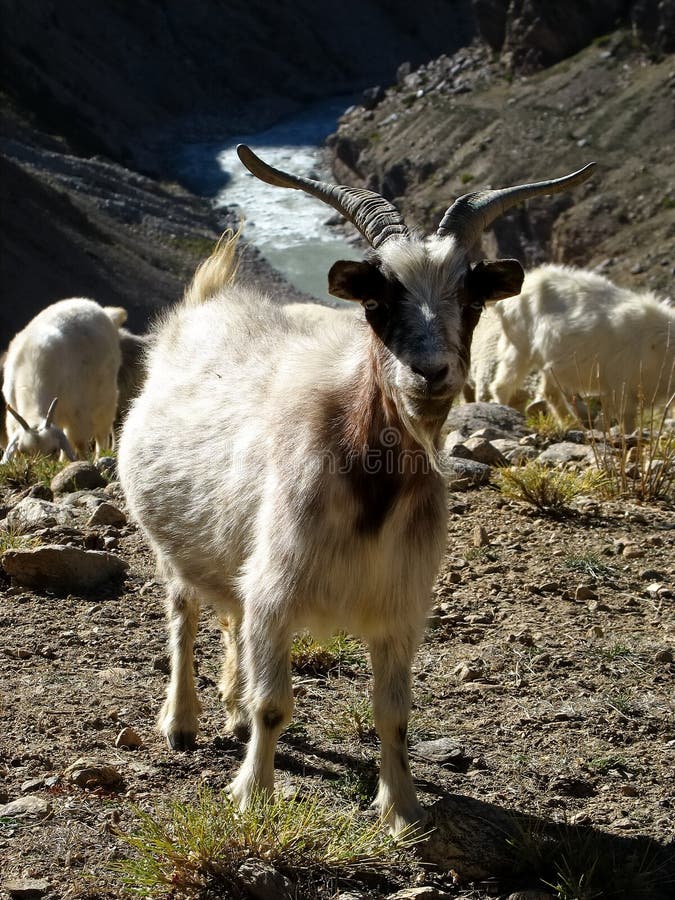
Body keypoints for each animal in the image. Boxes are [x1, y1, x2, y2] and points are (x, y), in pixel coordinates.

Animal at [2, 298, 126, 460]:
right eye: (24, 451)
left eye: (53, 449)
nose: (39, 465)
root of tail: (105, 312)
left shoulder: (77, 411)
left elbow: (79, 443)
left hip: (106, 396)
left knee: (101, 433)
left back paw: (99, 456)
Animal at [118, 148, 593, 834]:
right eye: (376, 299)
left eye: (471, 298)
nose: (430, 372)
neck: (370, 485)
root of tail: (206, 303)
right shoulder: (277, 591)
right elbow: (273, 704)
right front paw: (252, 795)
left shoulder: (399, 605)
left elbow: (392, 714)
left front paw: (400, 809)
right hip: (174, 546)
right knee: (184, 616)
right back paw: (181, 722)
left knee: (229, 614)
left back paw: (227, 710)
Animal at [469, 264, 675, 430]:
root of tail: (504, 303)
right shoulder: (621, 383)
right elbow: (626, 419)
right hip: (519, 349)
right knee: (502, 385)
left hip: (548, 362)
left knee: (550, 393)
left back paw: (571, 425)